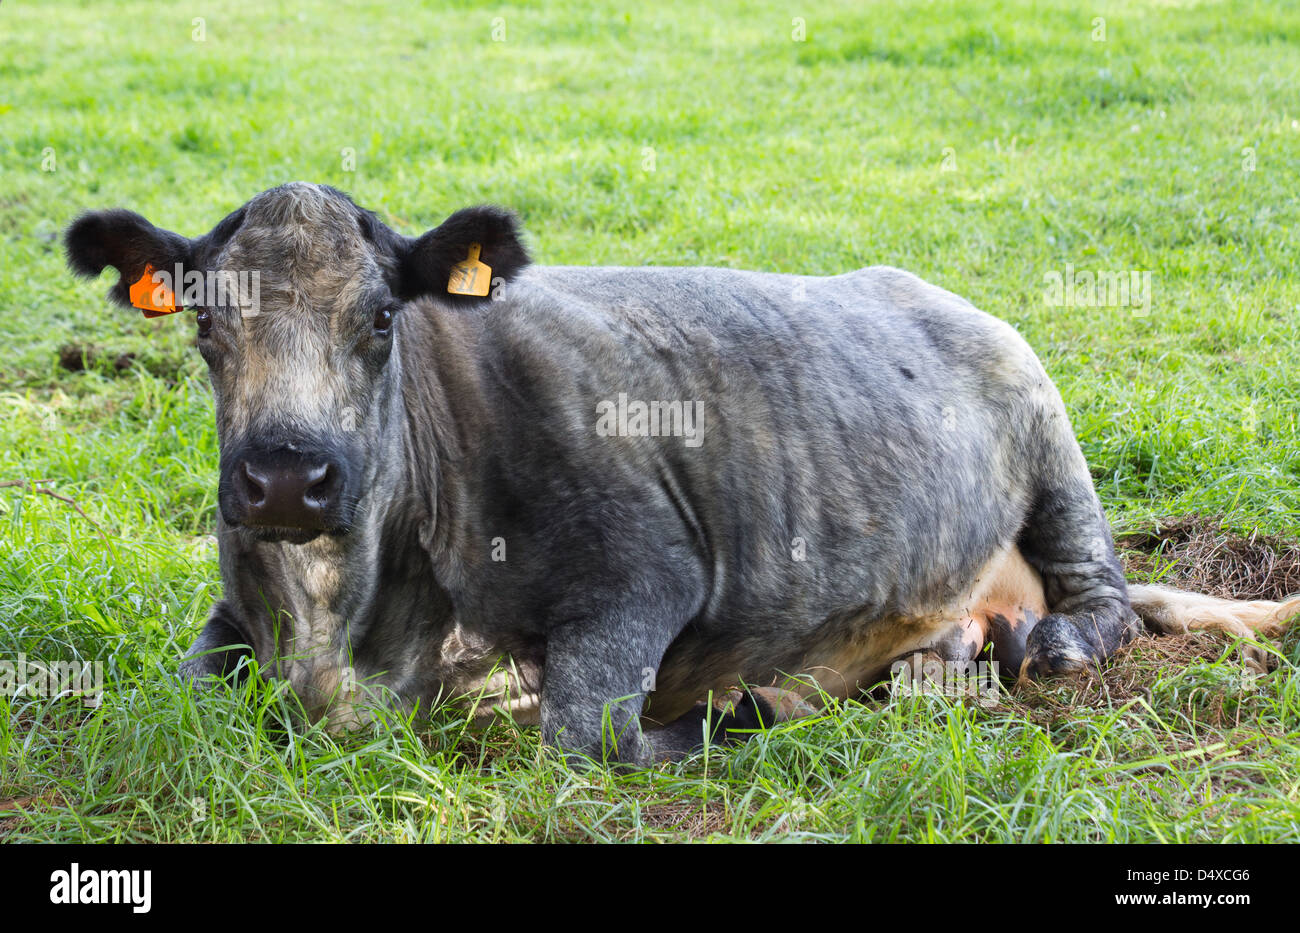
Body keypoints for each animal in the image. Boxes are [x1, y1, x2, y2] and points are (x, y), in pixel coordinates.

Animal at [64, 182, 1300, 767]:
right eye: (206, 329)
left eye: (379, 318)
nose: (285, 480)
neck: (347, 628)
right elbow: (177, 697)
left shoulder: (642, 571)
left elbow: (583, 729)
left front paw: (742, 709)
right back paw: (936, 661)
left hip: (1050, 444)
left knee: (1104, 602)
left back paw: (1045, 642)